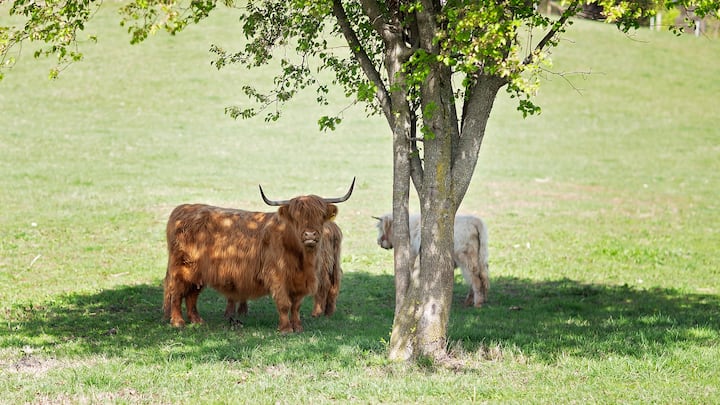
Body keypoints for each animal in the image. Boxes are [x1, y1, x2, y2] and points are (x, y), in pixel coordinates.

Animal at [163, 178, 354, 333]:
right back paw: (178, 322)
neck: (301, 259)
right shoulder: (276, 276)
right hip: (181, 268)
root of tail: (183, 208)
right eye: (296, 217)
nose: (310, 235)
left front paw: (298, 327)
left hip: (198, 272)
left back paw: (197, 321)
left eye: (320, 216)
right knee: (176, 292)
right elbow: (284, 304)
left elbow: (296, 306)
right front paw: (286, 329)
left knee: (191, 295)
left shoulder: (300, 281)